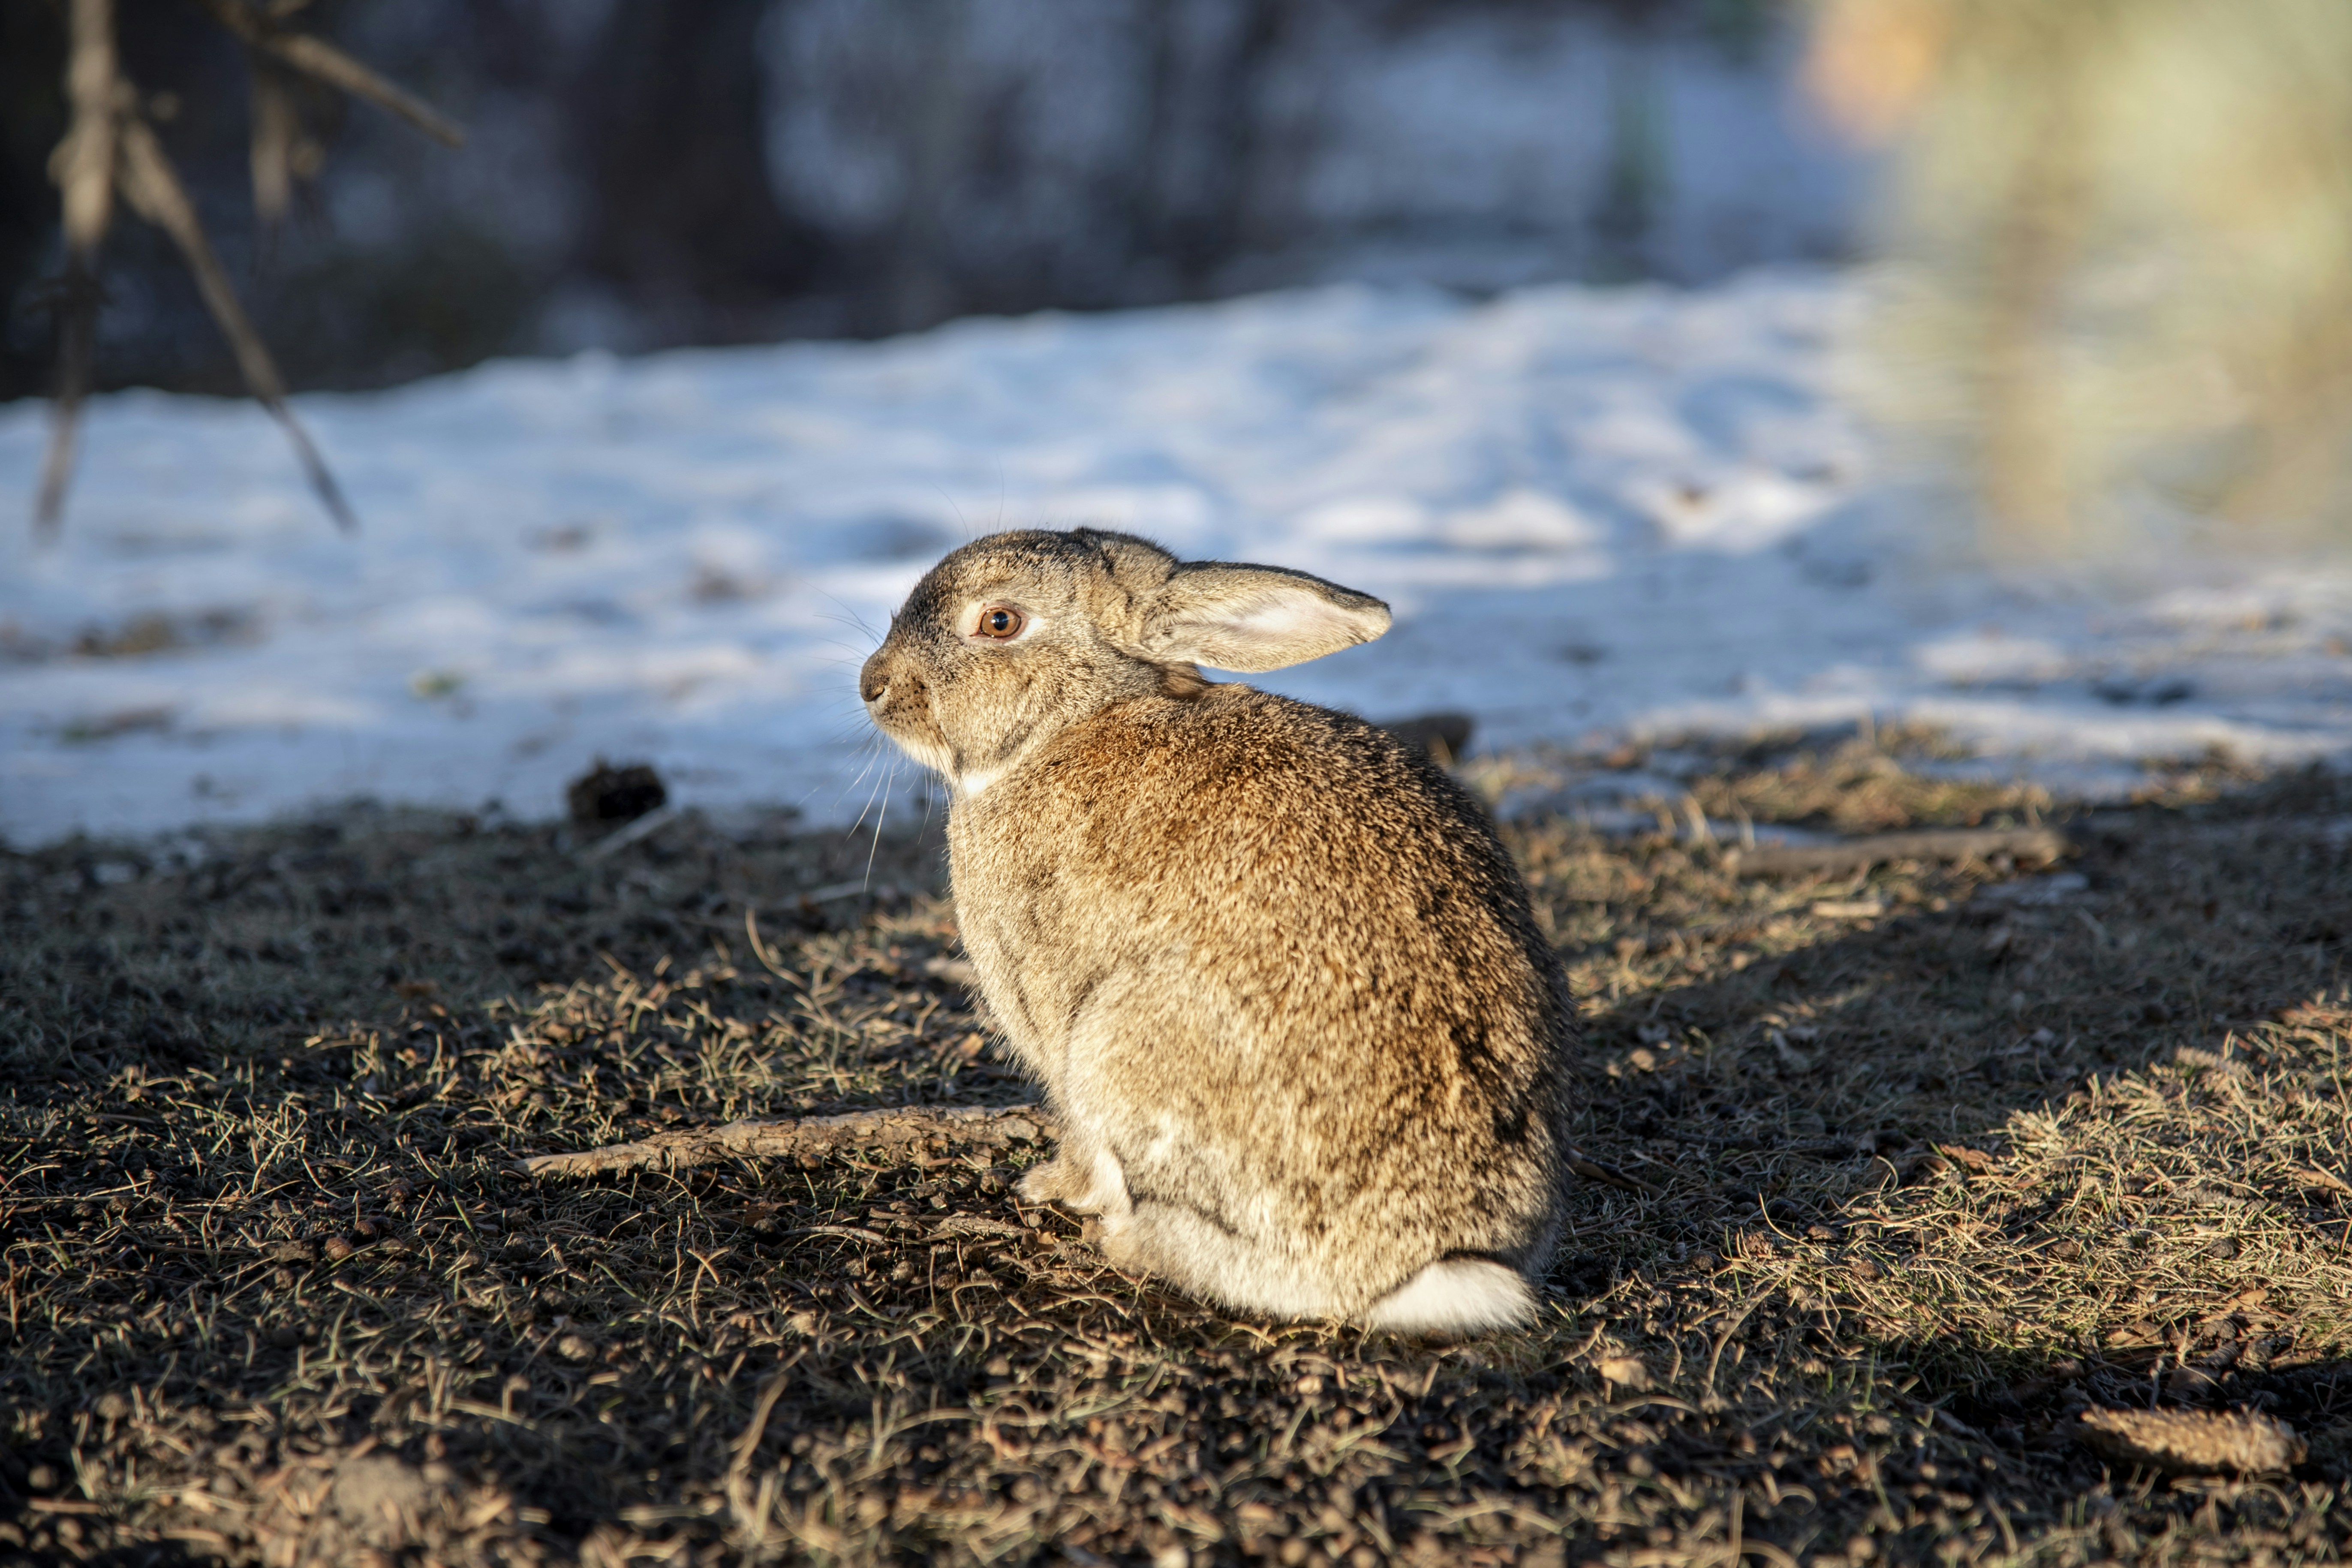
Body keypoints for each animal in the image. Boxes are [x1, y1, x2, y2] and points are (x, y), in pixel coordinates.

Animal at [858, 528, 1576, 1335]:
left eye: (999, 621)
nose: (871, 684)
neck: (1066, 724)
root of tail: (1426, 1264)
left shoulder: (1050, 1020)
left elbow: (1078, 1139)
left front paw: (1047, 1183)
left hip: (1118, 1044)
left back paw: (1124, 1239)